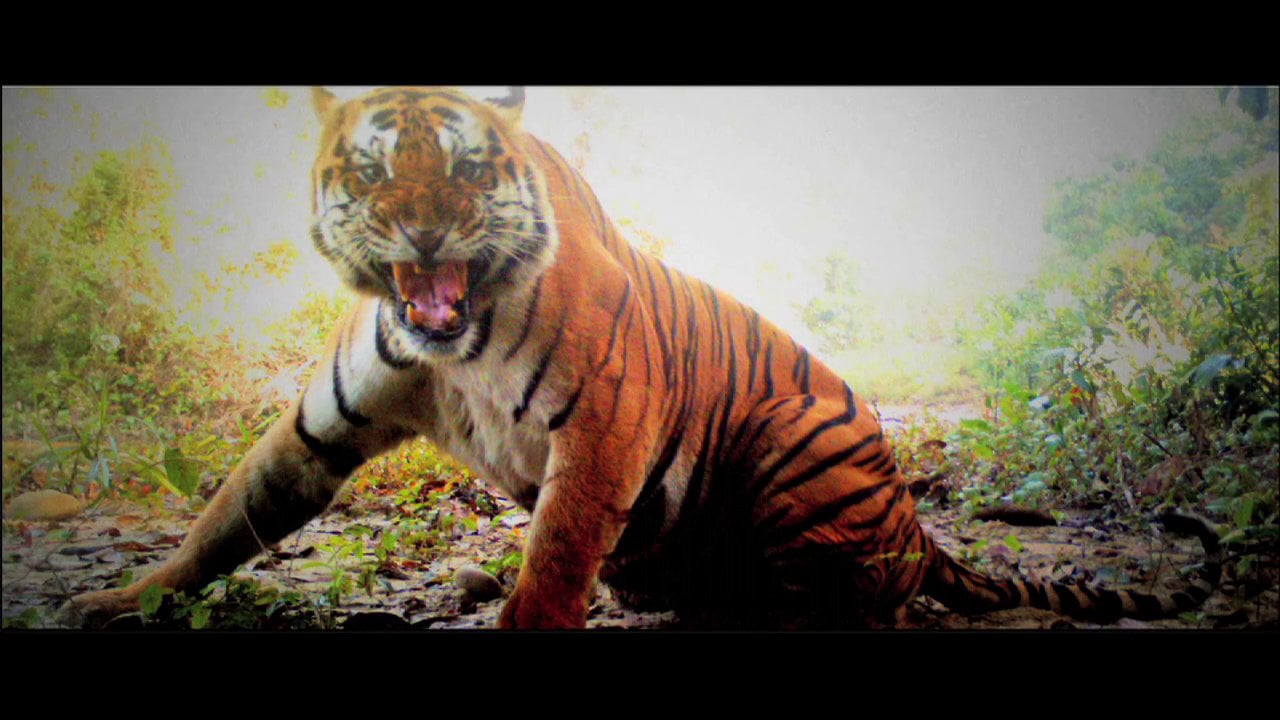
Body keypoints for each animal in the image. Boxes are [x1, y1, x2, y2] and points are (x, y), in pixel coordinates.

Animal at [60, 86, 1221, 629]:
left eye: (468, 169)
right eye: (376, 170)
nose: (425, 234)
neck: (453, 341)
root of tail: (916, 525)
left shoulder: (605, 425)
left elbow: (554, 557)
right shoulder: (315, 433)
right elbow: (224, 521)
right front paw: (121, 600)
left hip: (800, 435)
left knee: (864, 600)